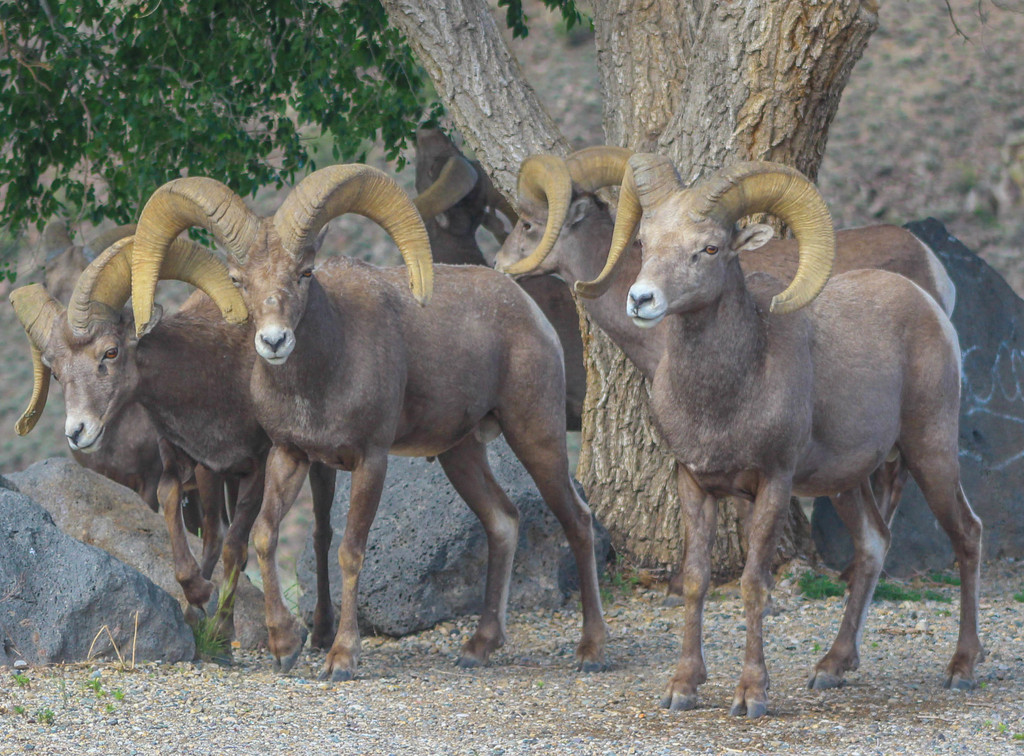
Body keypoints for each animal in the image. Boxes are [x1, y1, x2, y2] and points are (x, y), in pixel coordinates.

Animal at [10, 238, 338, 647]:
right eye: (55, 371)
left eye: (111, 351)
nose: (77, 431)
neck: (216, 373)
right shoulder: (197, 464)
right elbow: (186, 515)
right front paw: (197, 598)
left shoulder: (260, 466)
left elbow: (236, 542)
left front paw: (218, 625)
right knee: (216, 533)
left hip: (316, 466)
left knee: (321, 533)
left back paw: (323, 633)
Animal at [128, 163, 608, 681]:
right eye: (237, 278)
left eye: (305, 272)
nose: (274, 341)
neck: (321, 377)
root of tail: (529, 312)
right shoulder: (289, 457)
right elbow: (264, 537)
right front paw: (284, 646)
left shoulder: (370, 460)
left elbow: (349, 552)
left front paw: (341, 657)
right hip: (460, 454)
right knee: (503, 521)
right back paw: (478, 647)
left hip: (535, 432)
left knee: (577, 520)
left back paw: (592, 651)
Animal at [589, 154, 982, 717]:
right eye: (644, 242)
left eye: (710, 248)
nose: (642, 299)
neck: (725, 395)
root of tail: (931, 305)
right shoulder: (695, 483)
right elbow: (696, 580)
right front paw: (683, 687)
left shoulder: (773, 483)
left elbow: (754, 584)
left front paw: (751, 695)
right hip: (847, 484)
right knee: (873, 544)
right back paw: (831, 667)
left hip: (931, 452)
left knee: (967, 535)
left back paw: (962, 669)